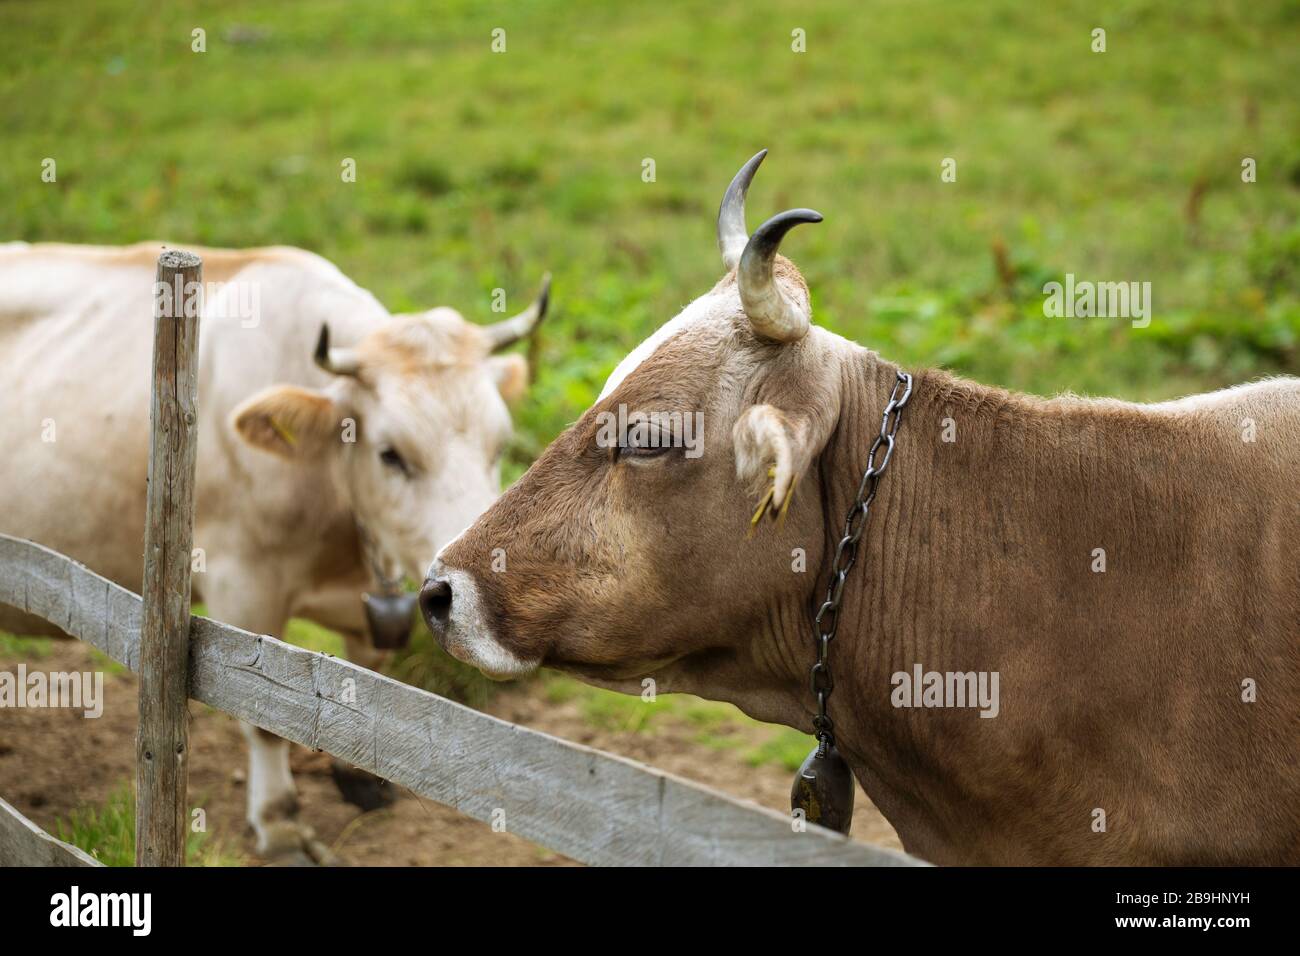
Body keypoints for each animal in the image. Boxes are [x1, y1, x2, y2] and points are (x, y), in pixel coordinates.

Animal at [0, 240, 548, 862]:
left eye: (500, 445)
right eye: (390, 454)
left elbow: (367, 677)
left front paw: (361, 777)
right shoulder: (243, 588)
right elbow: (262, 714)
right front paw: (279, 823)